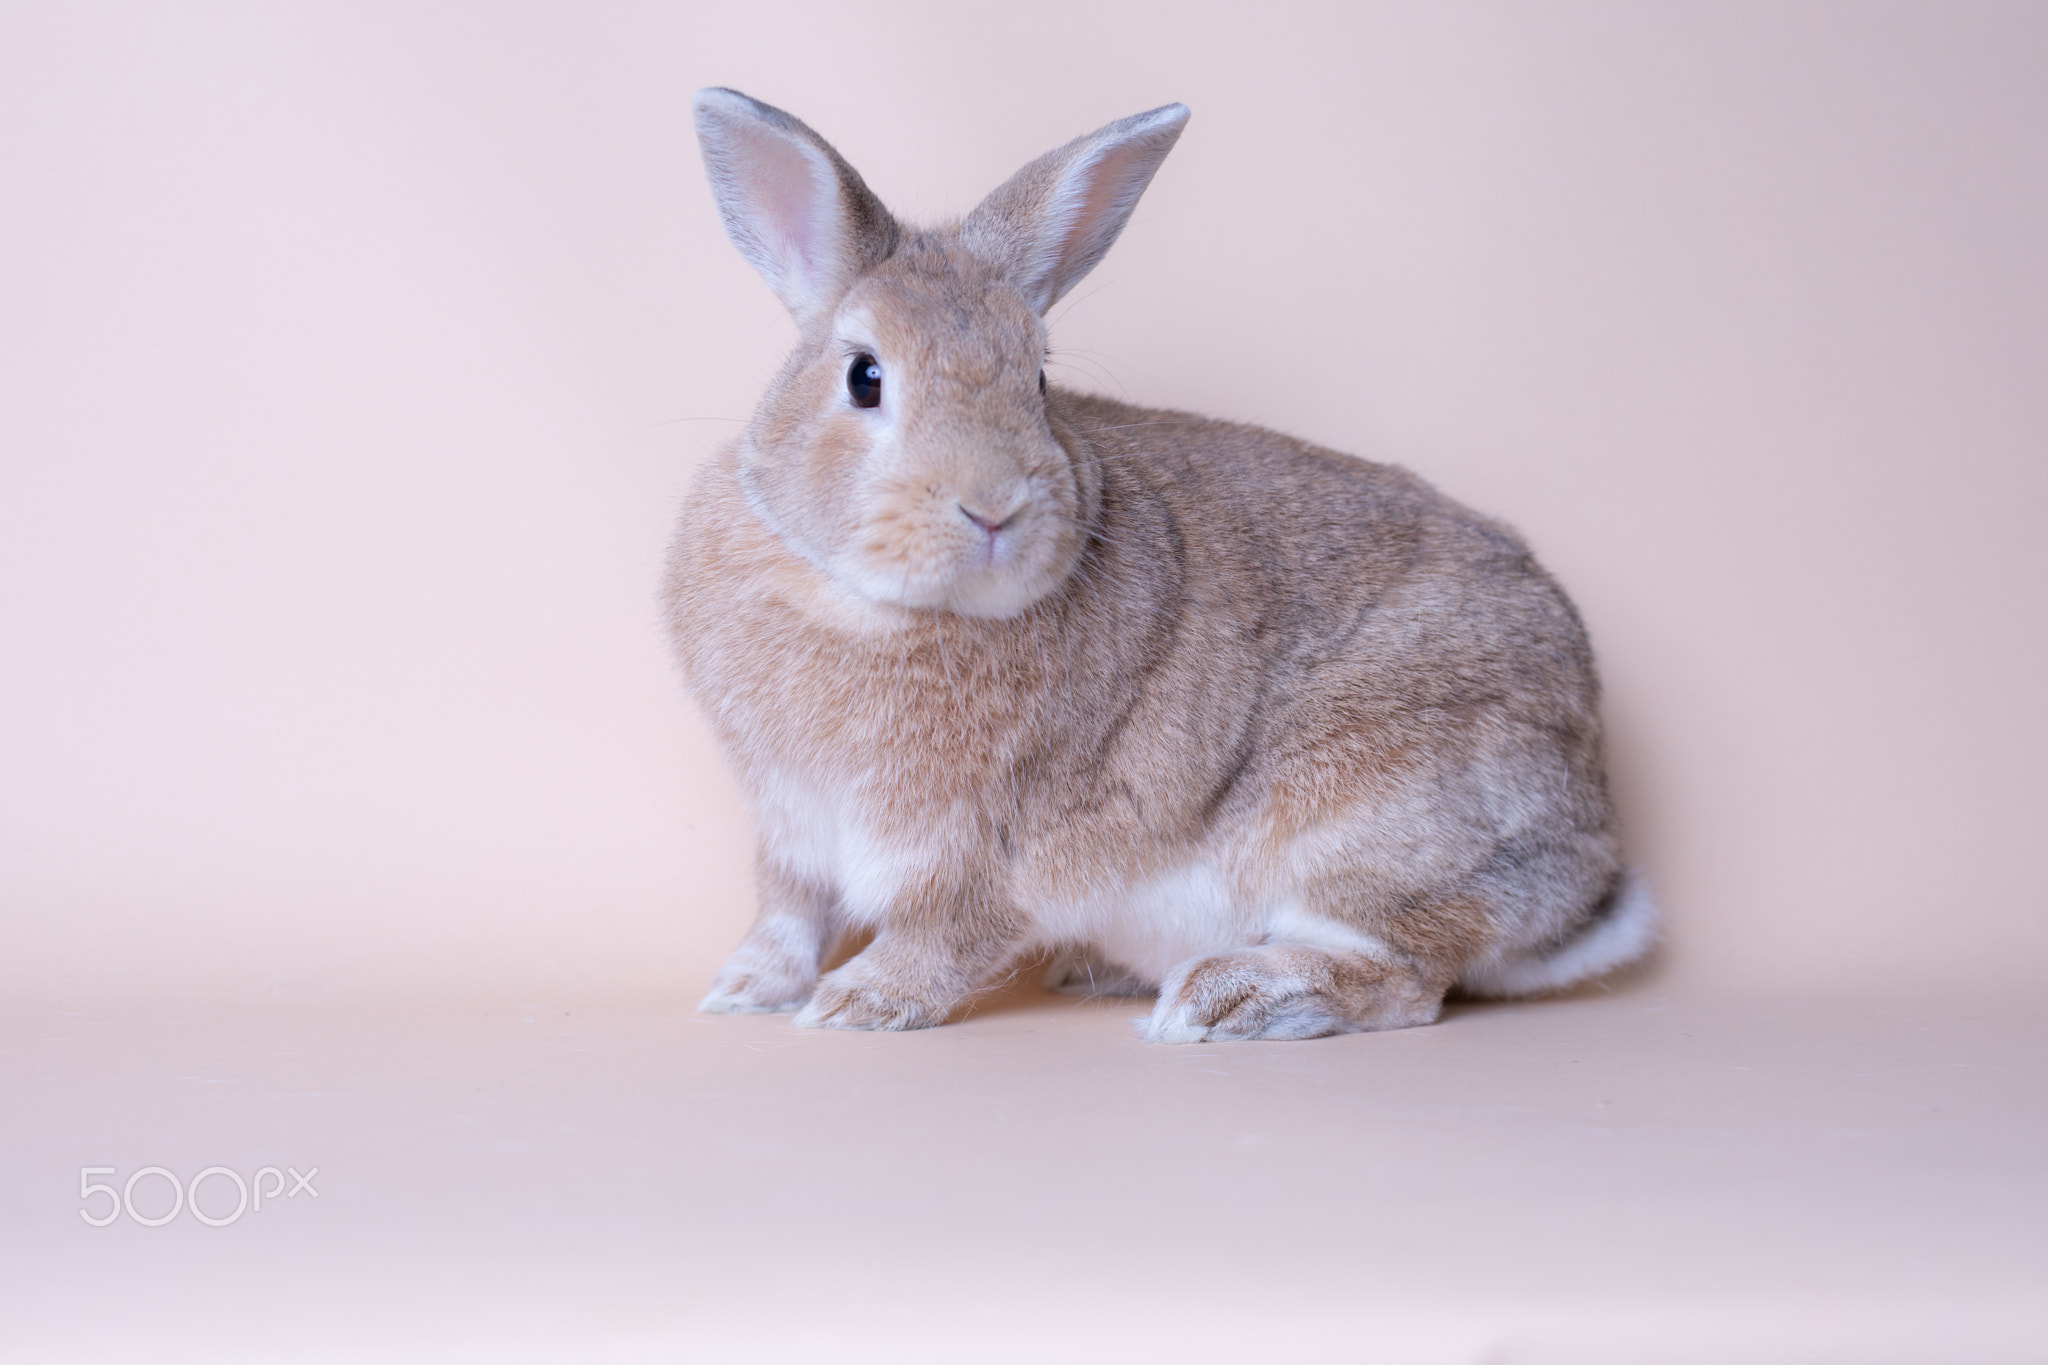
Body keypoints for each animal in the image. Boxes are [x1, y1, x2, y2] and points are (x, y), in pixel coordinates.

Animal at [663, 87, 1654, 1047]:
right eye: (864, 376)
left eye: (1039, 379)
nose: (994, 505)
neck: (870, 602)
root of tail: (1585, 877)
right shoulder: (793, 829)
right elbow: (789, 913)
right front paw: (744, 990)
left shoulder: (998, 848)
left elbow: (948, 932)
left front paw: (859, 1002)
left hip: (1364, 822)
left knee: (1405, 978)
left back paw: (1230, 999)